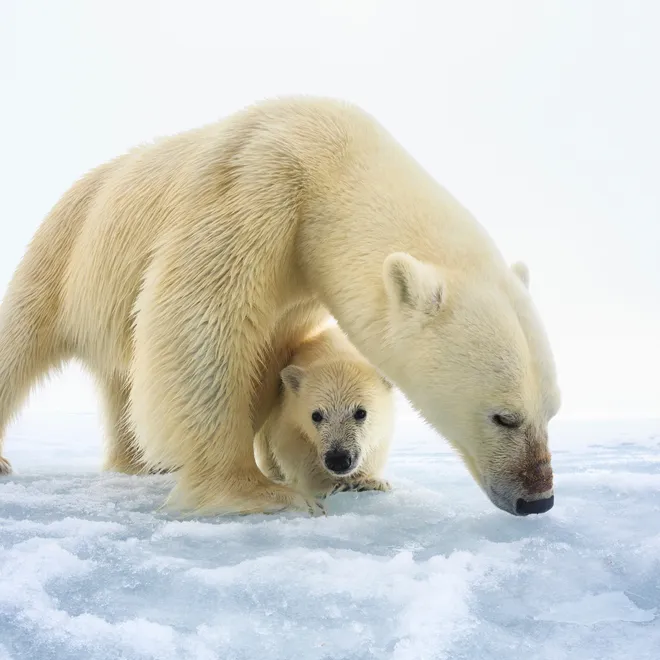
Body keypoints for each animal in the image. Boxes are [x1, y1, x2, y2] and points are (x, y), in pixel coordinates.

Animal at [254, 323, 395, 499]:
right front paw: (328, 485)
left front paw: (371, 481)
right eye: (316, 415)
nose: (338, 460)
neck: (334, 350)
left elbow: (376, 446)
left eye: (361, 412)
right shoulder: (290, 413)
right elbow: (293, 446)